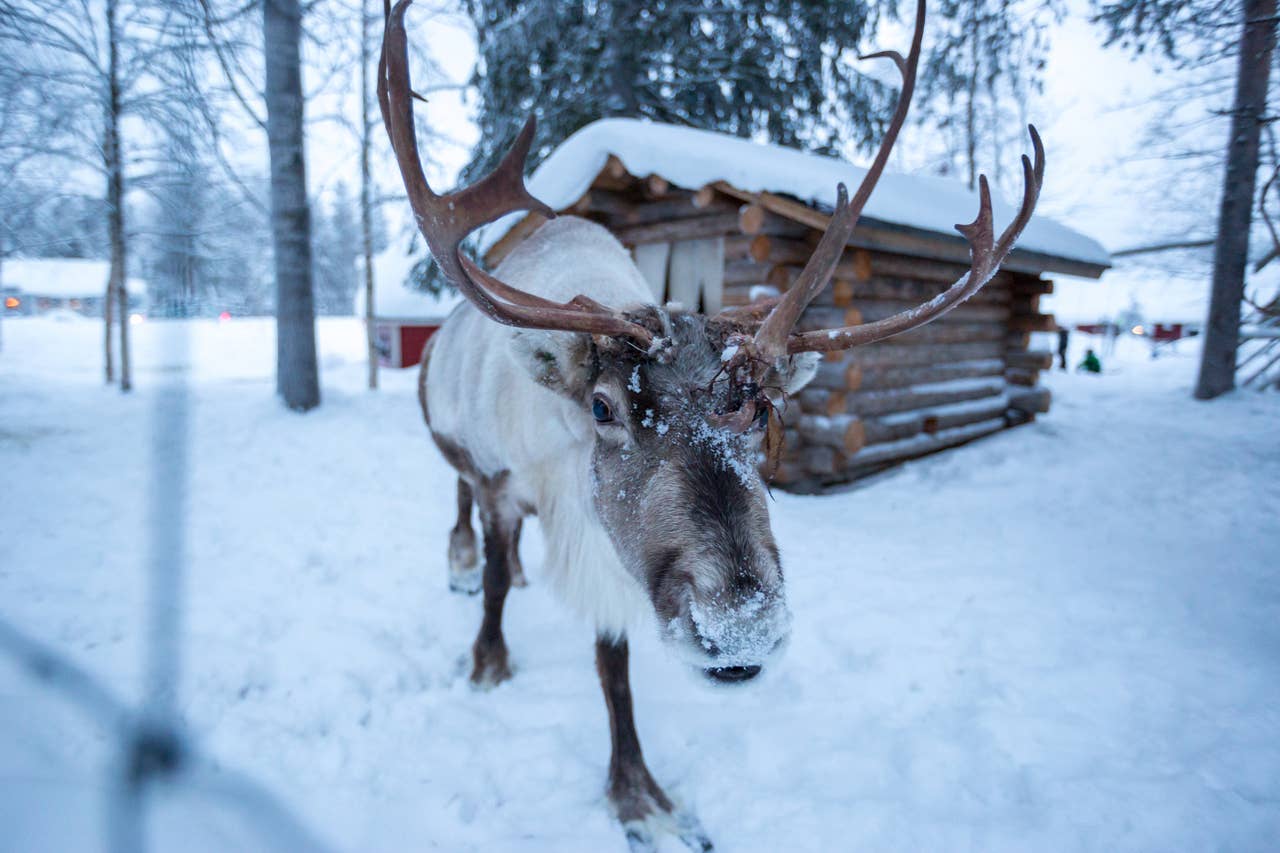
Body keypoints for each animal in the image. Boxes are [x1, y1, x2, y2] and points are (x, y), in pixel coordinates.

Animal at [381, 0, 1043, 848]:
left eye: (760, 410)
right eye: (603, 407)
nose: (743, 633)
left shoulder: (603, 540)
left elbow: (613, 661)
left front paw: (640, 794)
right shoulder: (506, 478)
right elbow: (496, 576)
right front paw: (489, 661)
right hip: (455, 446)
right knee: (462, 505)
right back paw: (463, 562)